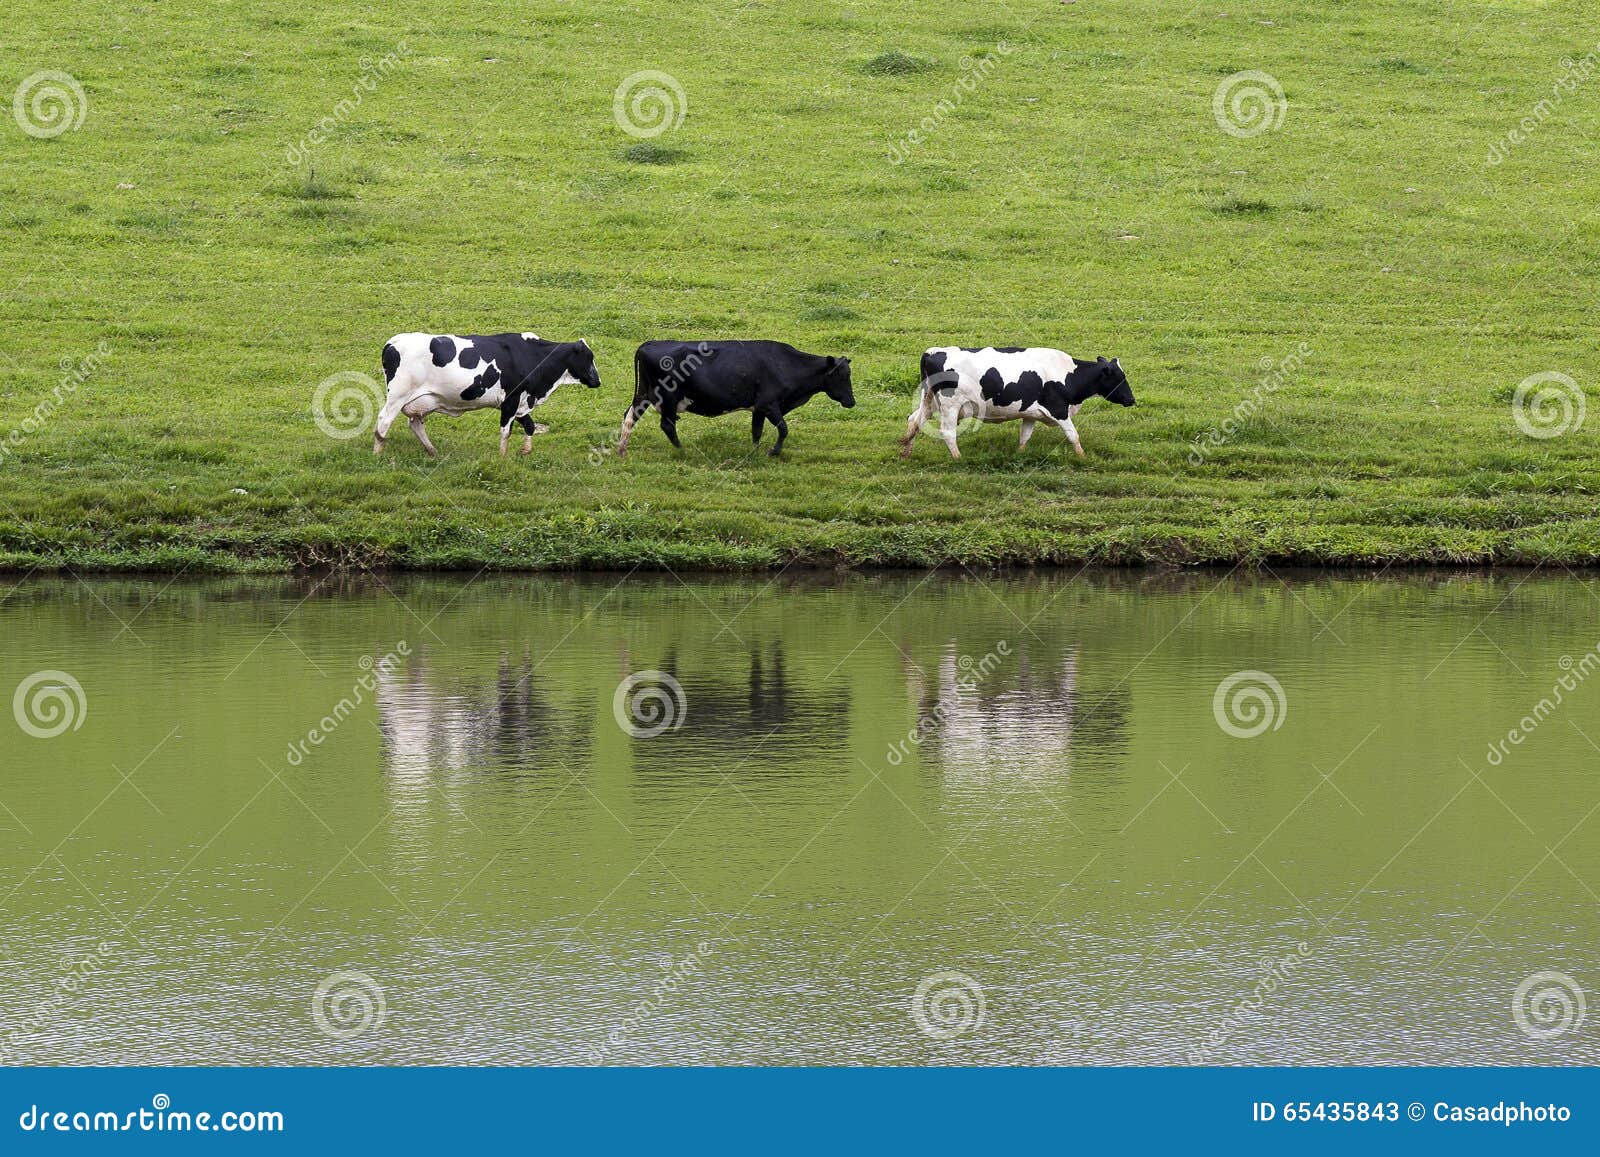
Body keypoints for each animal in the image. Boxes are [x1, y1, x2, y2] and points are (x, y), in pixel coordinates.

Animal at [373, 332, 600, 457]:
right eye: (589, 358)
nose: (598, 381)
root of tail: (391, 343)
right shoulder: (511, 400)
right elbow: (506, 431)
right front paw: (502, 456)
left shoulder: (522, 401)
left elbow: (530, 425)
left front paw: (525, 451)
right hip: (398, 395)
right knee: (384, 421)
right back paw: (378, 452)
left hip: (424, 400)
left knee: (415, 424)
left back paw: (432, 451)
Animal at [616, 340, 855, 457]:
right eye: (842, 376)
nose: (852, 402)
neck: (787, 365)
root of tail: (649, 343)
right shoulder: (769, 404)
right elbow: (784, 429)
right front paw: (774, 451)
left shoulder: (759, 408)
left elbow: (756, 431)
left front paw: (754, 451)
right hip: (667, 399)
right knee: (667, 425)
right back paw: (681, 450)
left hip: (644, 395)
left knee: (630, 417)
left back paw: (622, 449)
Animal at [900, 346, 1134, 460]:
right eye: (1119, 378)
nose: (1131, 400)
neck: (1068, 373)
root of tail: (933, 351)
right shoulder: (1058, 409)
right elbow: (1073, 435)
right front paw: (1083, 457)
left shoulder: (1030, 413)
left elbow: (1025, 437)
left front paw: (1019, 454)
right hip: (950, 405)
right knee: (948, 433)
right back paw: (958, 458)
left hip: (929, 401)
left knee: (914, 420)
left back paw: (905, 453)